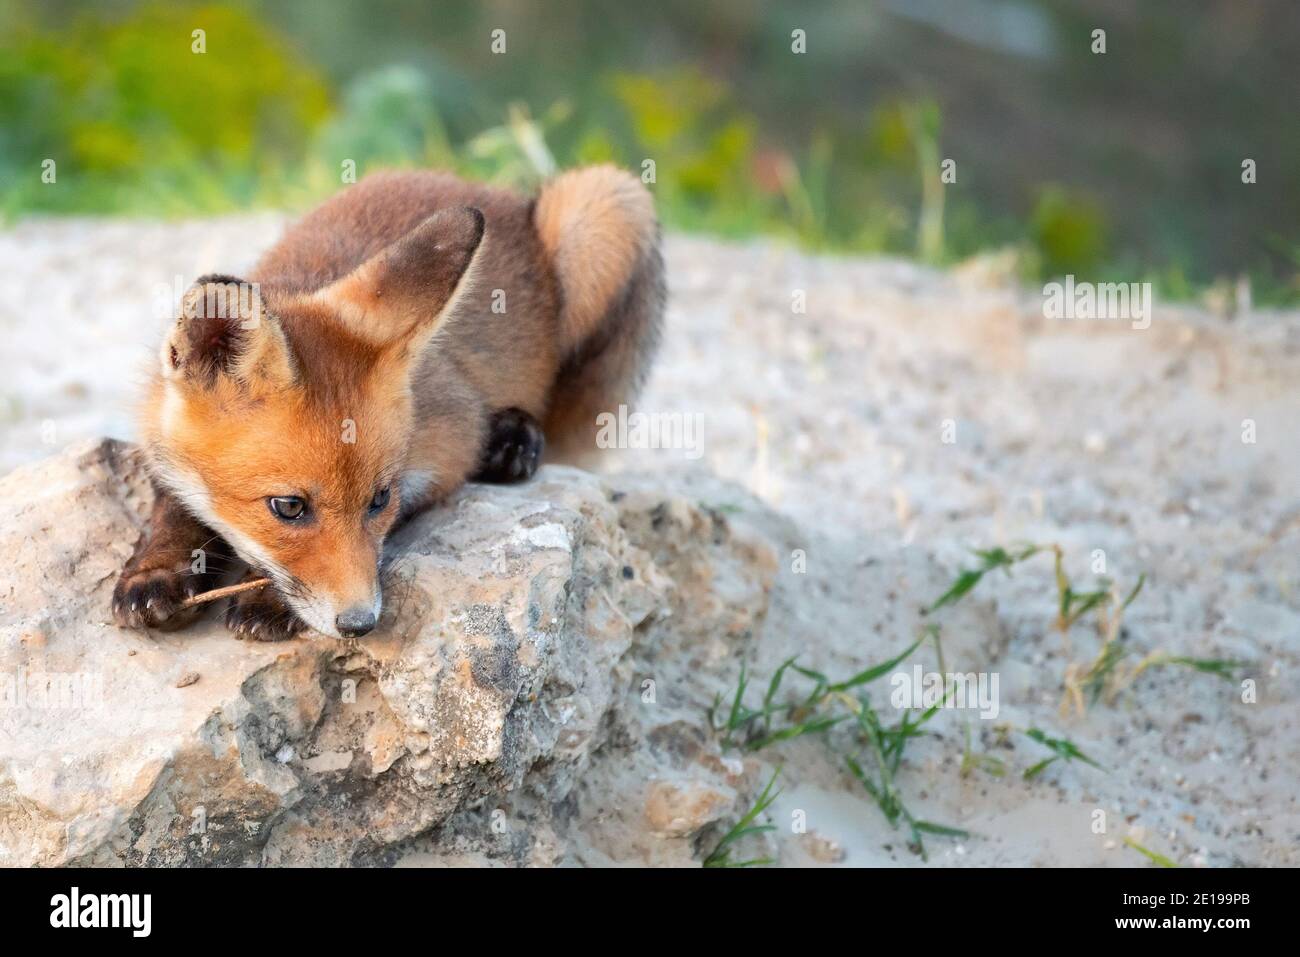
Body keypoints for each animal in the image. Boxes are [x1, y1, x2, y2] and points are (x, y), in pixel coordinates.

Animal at [111, 165, 664, 640]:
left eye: (379, 500)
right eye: (288, 507)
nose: (360, 624)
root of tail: (492, 189)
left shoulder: (450, 441)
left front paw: (265, 598)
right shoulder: (158, 430)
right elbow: (173, 505)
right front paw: (155, 570)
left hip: (608, 199)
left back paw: (515, 438)